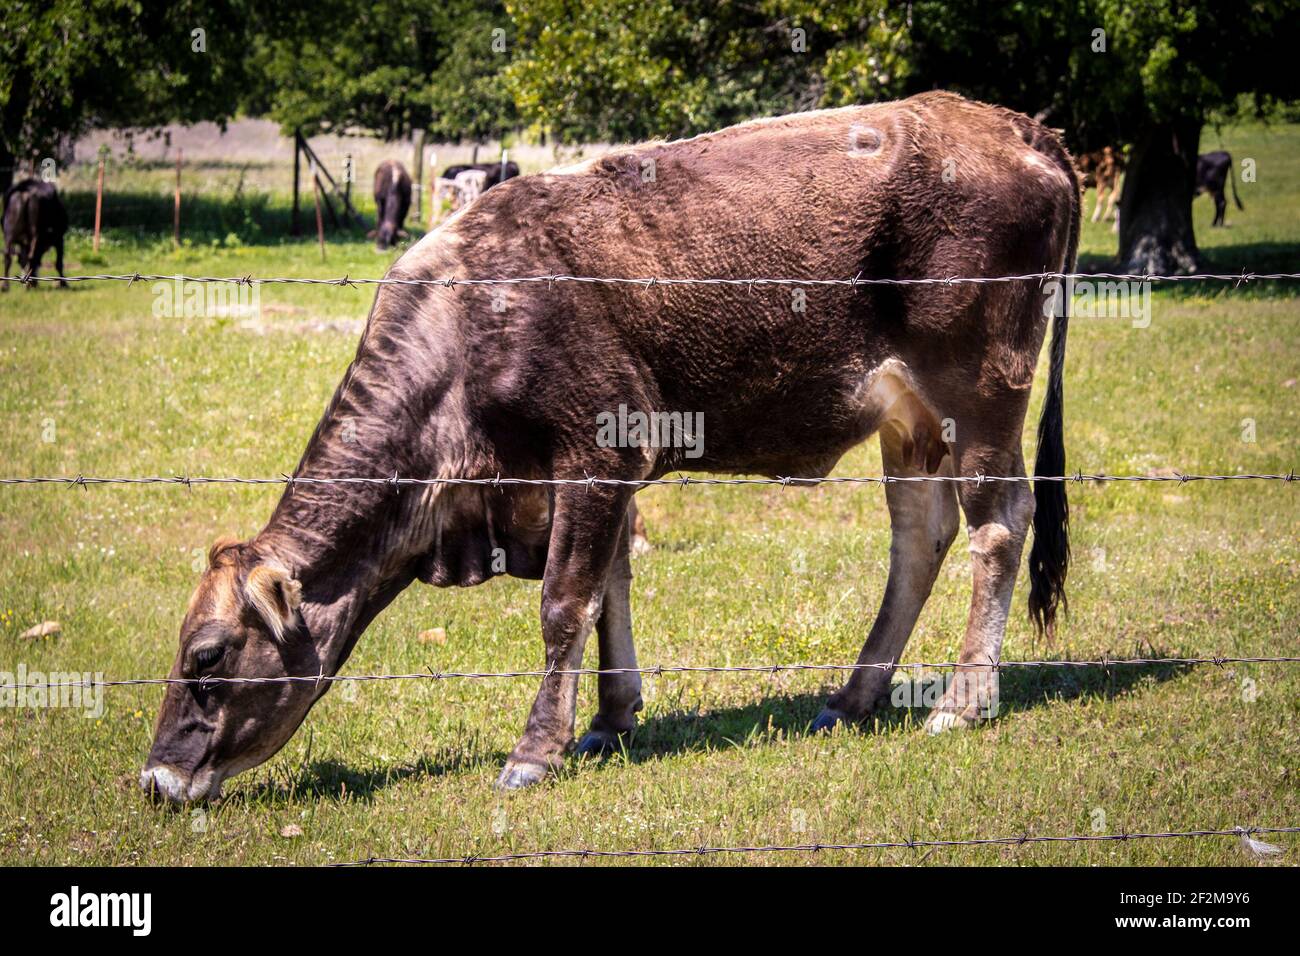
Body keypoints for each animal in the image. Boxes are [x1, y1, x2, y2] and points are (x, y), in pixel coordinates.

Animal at [140, 91, 1078, 802]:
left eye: (207, 657)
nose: (154, 780)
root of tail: (1010, 124)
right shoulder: (584, 482)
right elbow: (609, 592)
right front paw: (609, 718)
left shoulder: (597, 452)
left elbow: (565, 602)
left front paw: (533, 753)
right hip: (909, 420)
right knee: (920, 539)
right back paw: (854, 697)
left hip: (980, 394)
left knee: (1000, 524)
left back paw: (965, 697)